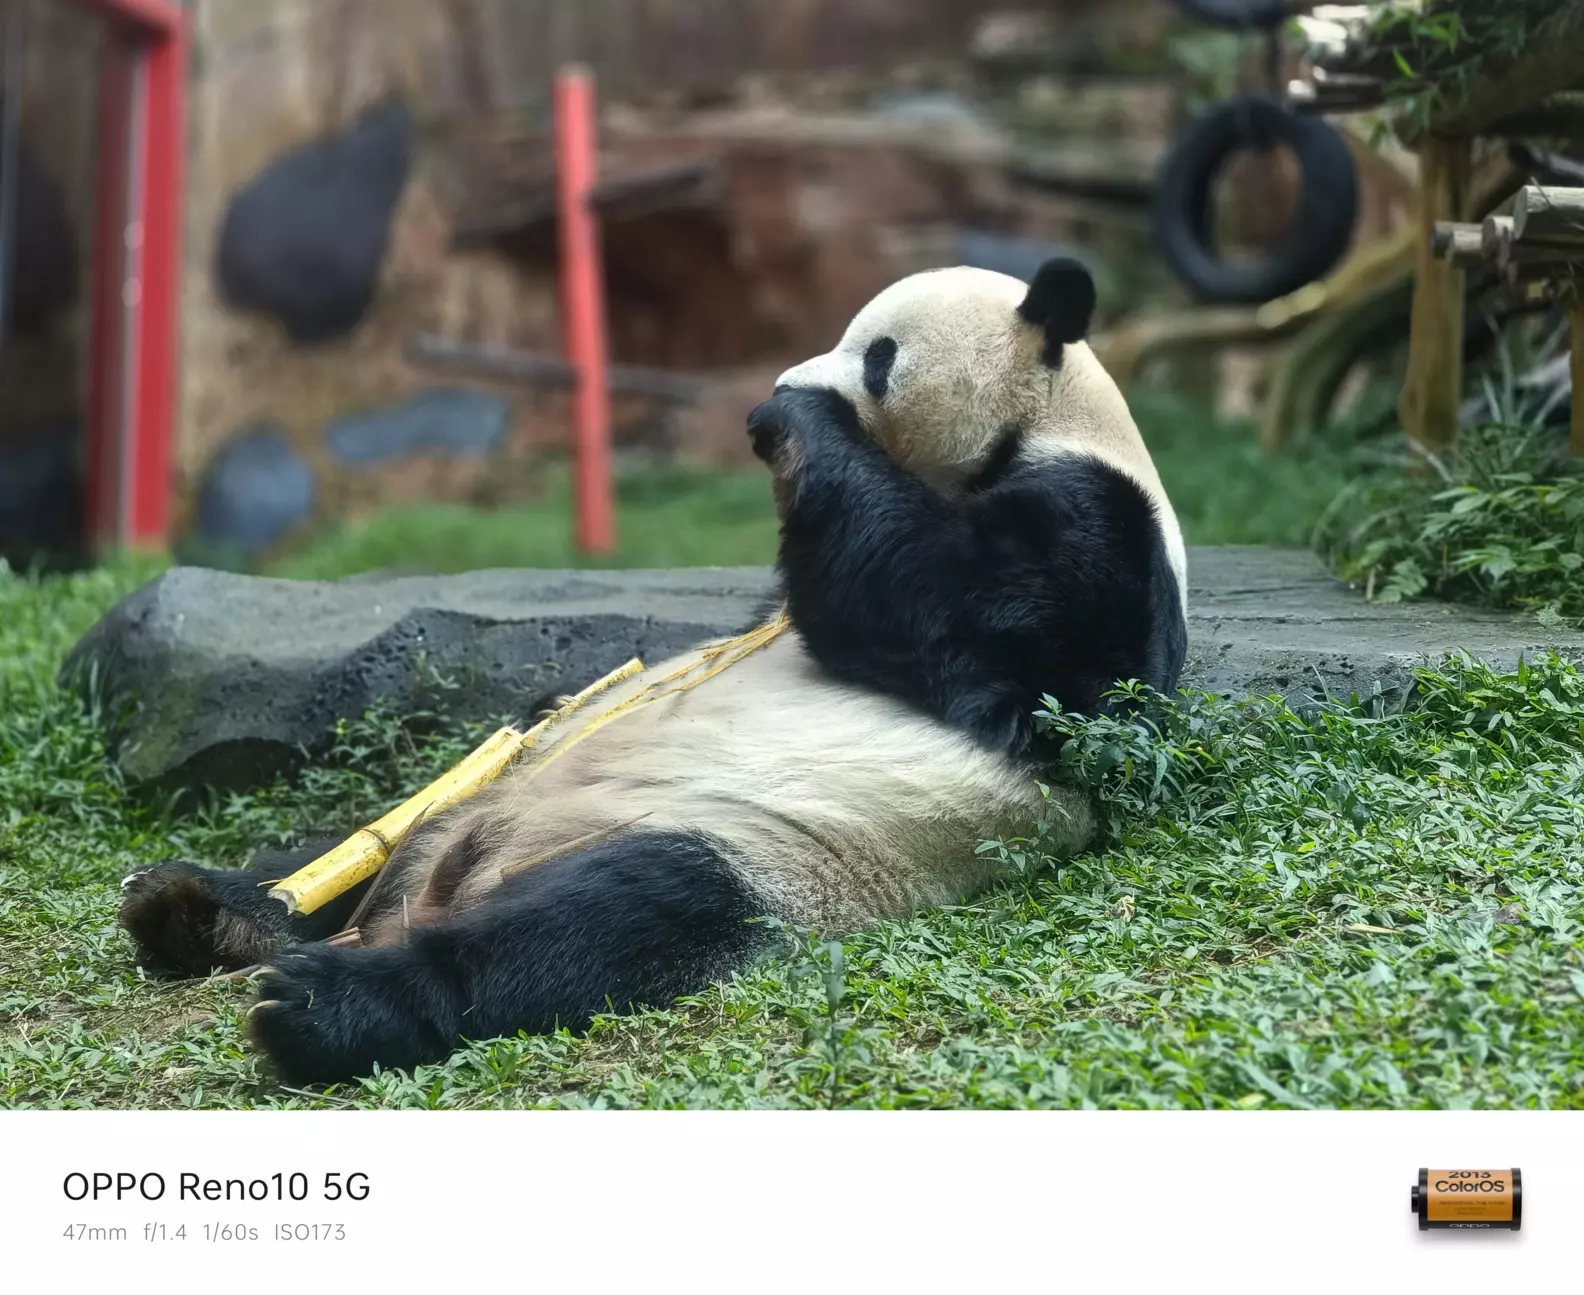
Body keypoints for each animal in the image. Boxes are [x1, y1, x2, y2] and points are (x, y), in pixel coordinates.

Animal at [118, 256, 1188, 1085]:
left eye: (878, 355)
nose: (763, 404)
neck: (1051, 425)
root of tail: (449, 875)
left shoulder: (1097, 547)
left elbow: (960, 624)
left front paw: (798, 423)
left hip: (770, 846)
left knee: (607, 922)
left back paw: (324, 1003)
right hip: (467, 803)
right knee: (350, 840)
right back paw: (205, 907)